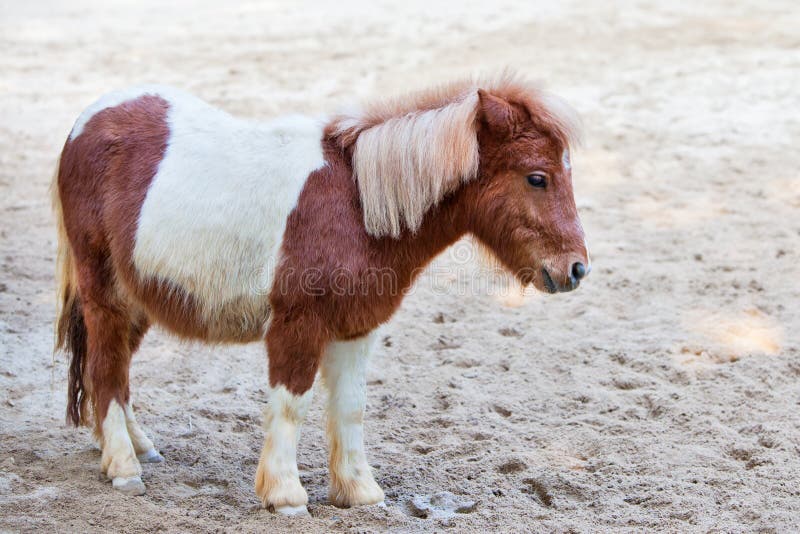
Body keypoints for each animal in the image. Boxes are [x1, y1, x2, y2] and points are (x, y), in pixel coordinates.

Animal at [52, 72, 589, 515]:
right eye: (537, 177)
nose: (576, 268)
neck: (357, 206)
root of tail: (86, 122)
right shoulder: (297, 325)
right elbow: (292, 403)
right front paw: (285, 495)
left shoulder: (356, 328)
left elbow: (350, 407)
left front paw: (359, 492)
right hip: (103, 295)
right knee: (104, 368)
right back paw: (124, 466)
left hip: (136, 299)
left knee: (118, 370)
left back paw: (135, 447)